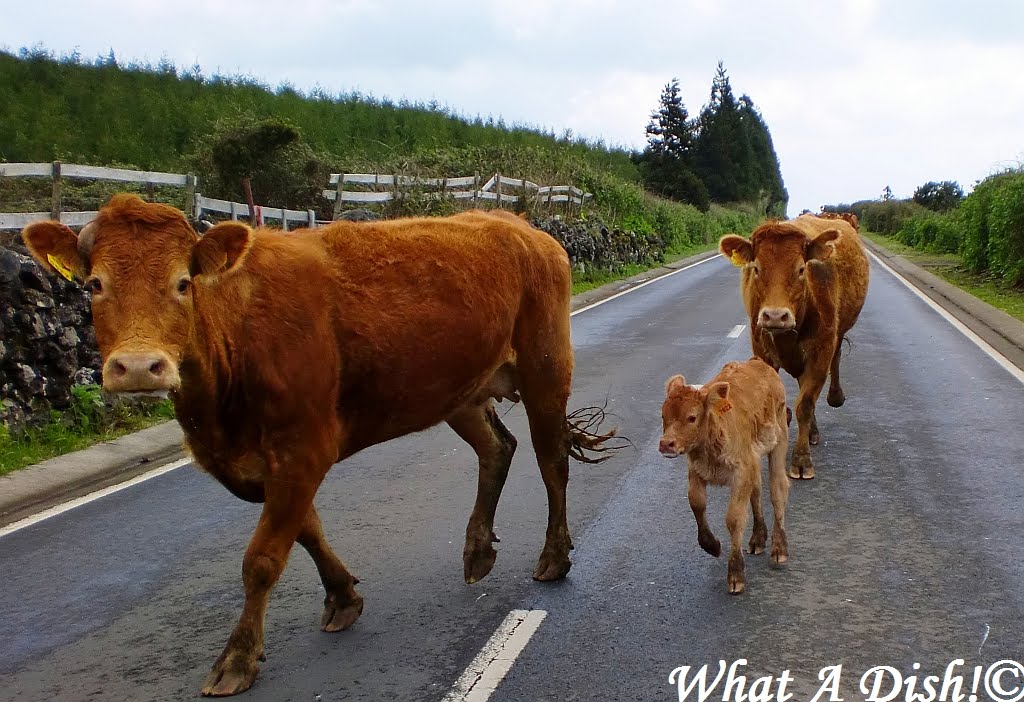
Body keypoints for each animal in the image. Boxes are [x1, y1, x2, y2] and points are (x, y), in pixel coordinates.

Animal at [21, 195, 618, 696]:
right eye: (94, 285)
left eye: (183, 282)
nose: (141, 366)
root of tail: (515, 223)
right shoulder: (264, 463)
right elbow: (305, 528)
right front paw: (343, 597)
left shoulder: (304, 446)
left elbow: (263, 557)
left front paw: (237, 659)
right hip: (459, 389)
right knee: (498, 448)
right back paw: (477, 551)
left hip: (545, 367)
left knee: (551, 459)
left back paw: (553, 556)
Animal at [658, 358, 790, 594]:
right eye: (663, 415)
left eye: (692, 417)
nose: (666, 444)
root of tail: (759, 363)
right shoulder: (697, 470)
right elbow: (697, 503)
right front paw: (711, 545)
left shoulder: (741, 472)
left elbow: (734, 518)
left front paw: (735, 574)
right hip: (754, 459)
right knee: (757, 491)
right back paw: (758, 538)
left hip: (779, 440)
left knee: (778, 489)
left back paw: (779, 547)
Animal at [719, 214, 869, 479]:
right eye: (756, 268)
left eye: (801, 269)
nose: (775, 316)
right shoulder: (762, 351)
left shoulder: (821, 351)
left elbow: (805, 405)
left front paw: (801, 460)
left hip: (838, 333)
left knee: (835, 359)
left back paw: (833, 399)